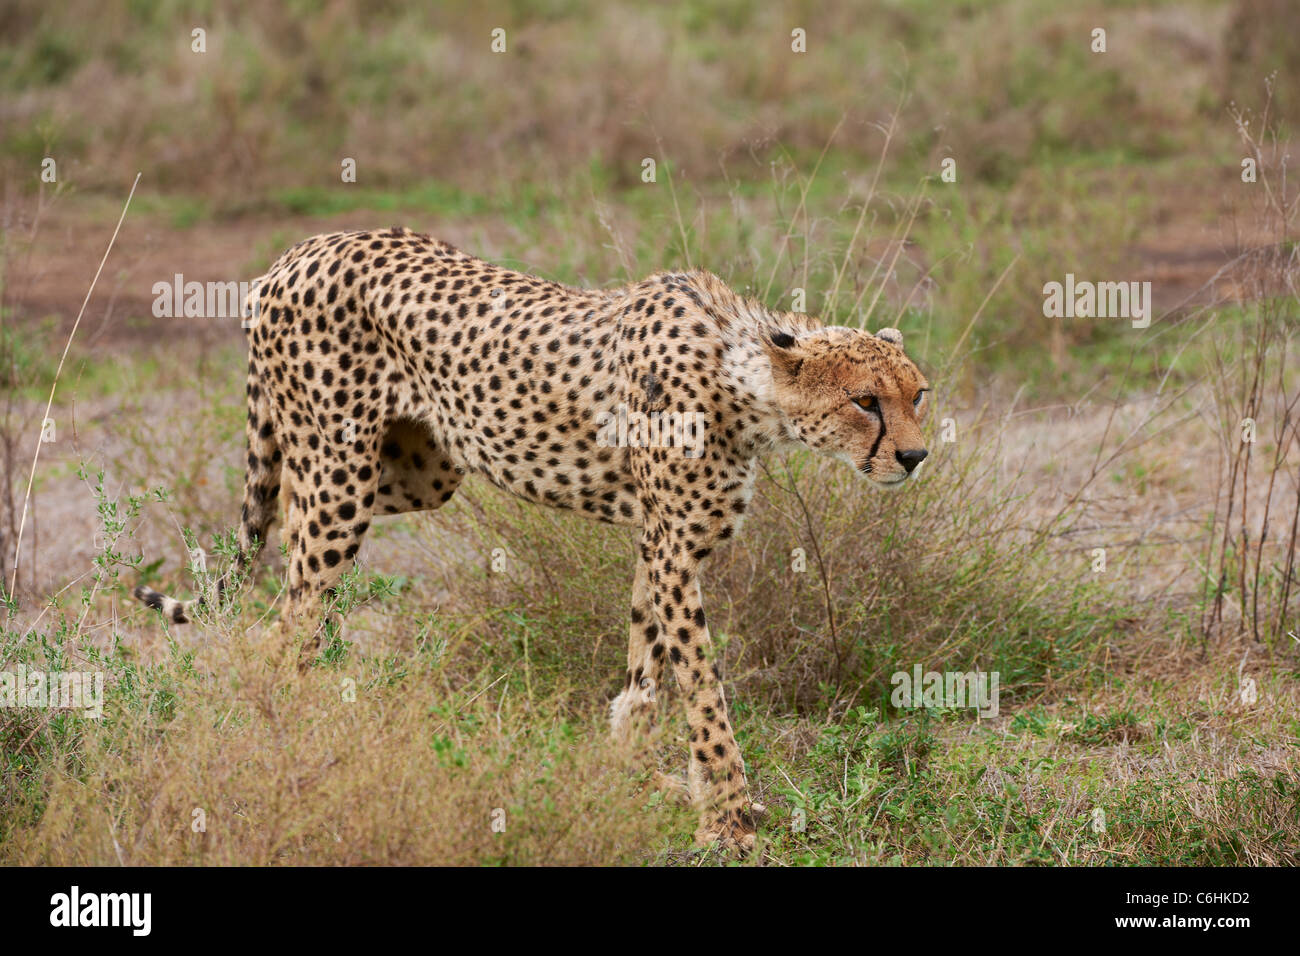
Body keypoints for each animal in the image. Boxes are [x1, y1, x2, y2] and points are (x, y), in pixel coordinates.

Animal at [134, 226, 931, 852]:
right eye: (865, 401)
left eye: (917, 394)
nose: (916, 456)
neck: (748, 383)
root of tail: (302, 249)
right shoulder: (675, 549)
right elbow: (705, 690)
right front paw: (728, 822)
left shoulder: (658, 543)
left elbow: (646, 671)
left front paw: (638, 774)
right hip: (341, 473)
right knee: (291, 608)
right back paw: (289, 735)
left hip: (416, 469)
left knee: (290, 560)